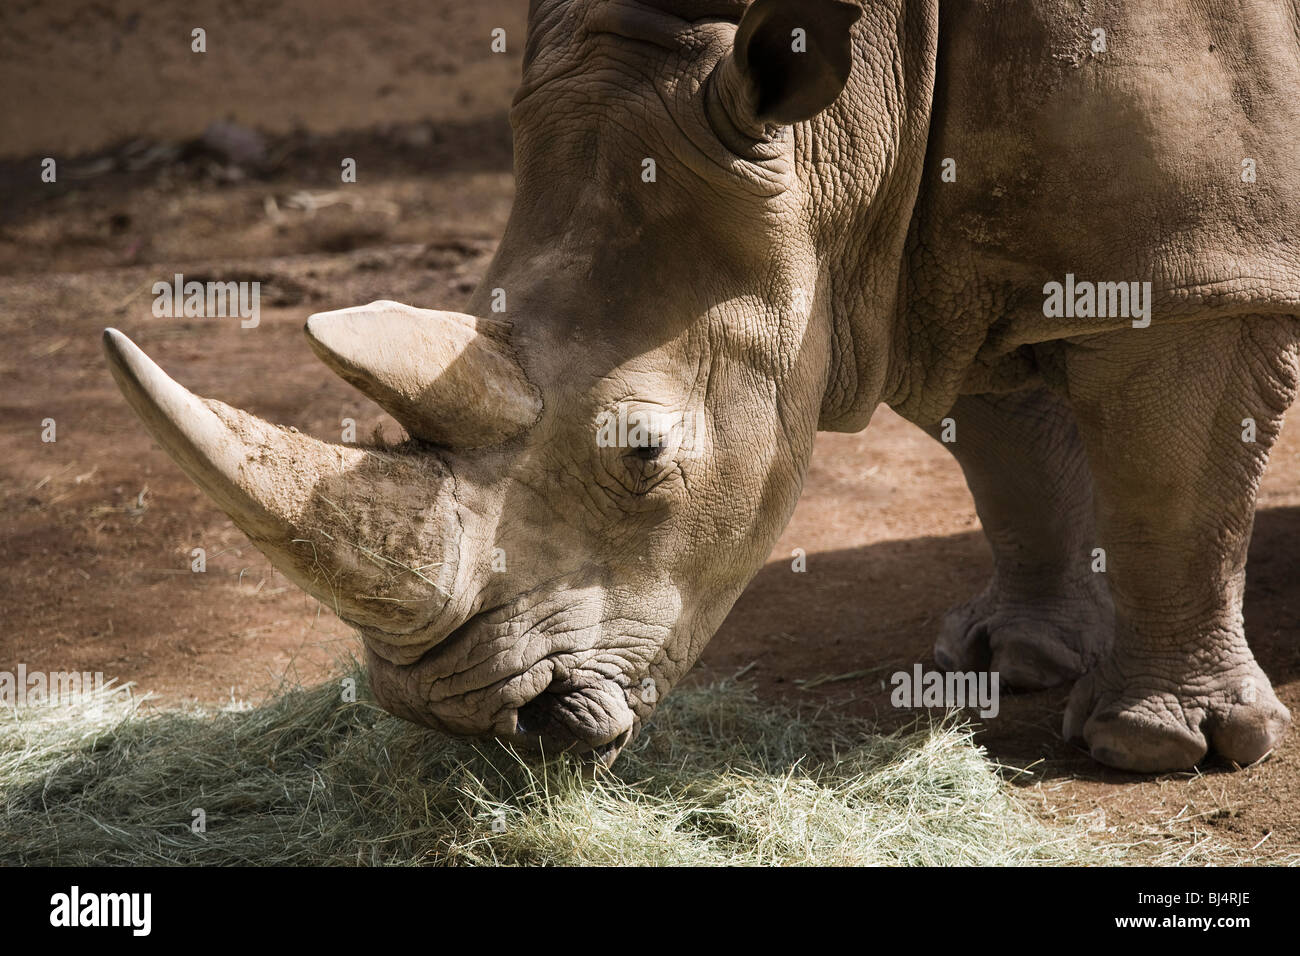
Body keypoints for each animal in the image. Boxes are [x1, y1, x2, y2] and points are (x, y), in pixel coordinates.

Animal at [103, 0, 1300, 772]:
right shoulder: (932, 247)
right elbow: (1007, 451)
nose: (465, 720)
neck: (848, 109)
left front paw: (1151, 747)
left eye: (645, 453)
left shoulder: (1198, 259)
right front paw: (1008, 661)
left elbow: (1169, 485)